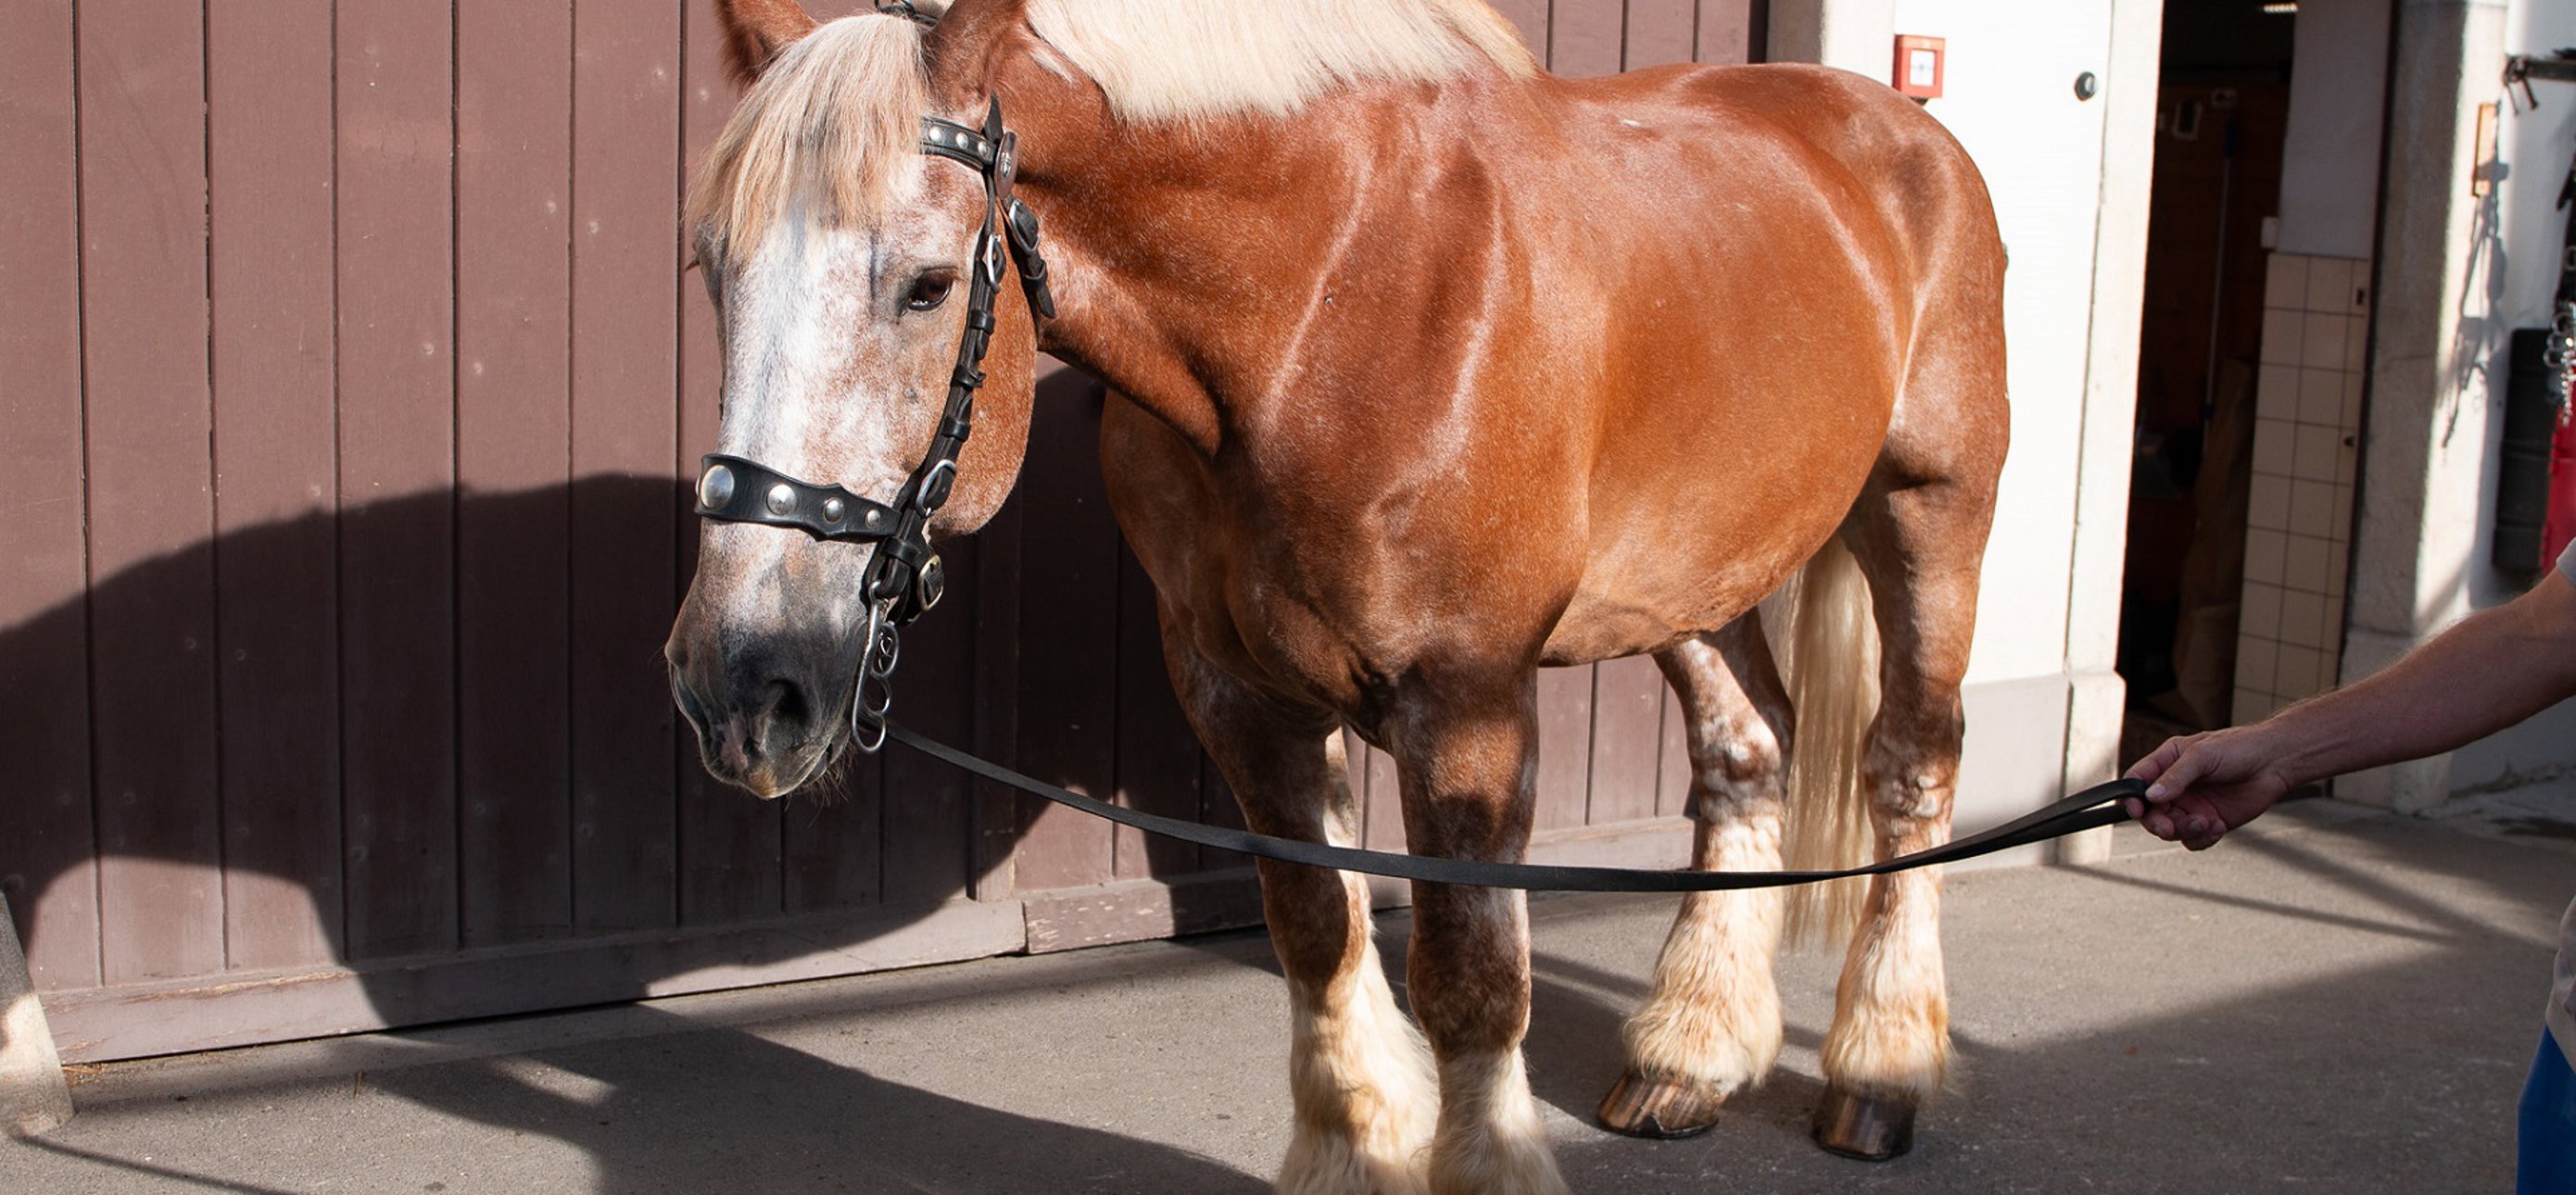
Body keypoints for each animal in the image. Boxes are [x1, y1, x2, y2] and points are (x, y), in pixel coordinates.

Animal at [660, 2, 2009, 1191]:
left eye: (928, 285)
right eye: (714, 271)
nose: (741, 684)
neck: (1322, 308)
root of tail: (1900, 125)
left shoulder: (1465, 706)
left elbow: (1471, 982)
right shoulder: (1235, 690)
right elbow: (1318, 930)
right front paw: (1355, 1148)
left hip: (1929, 508)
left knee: (1912, 760)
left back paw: (1878, 1073)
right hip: (1688, 573)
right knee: (1750, 750)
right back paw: (1690, 1053)